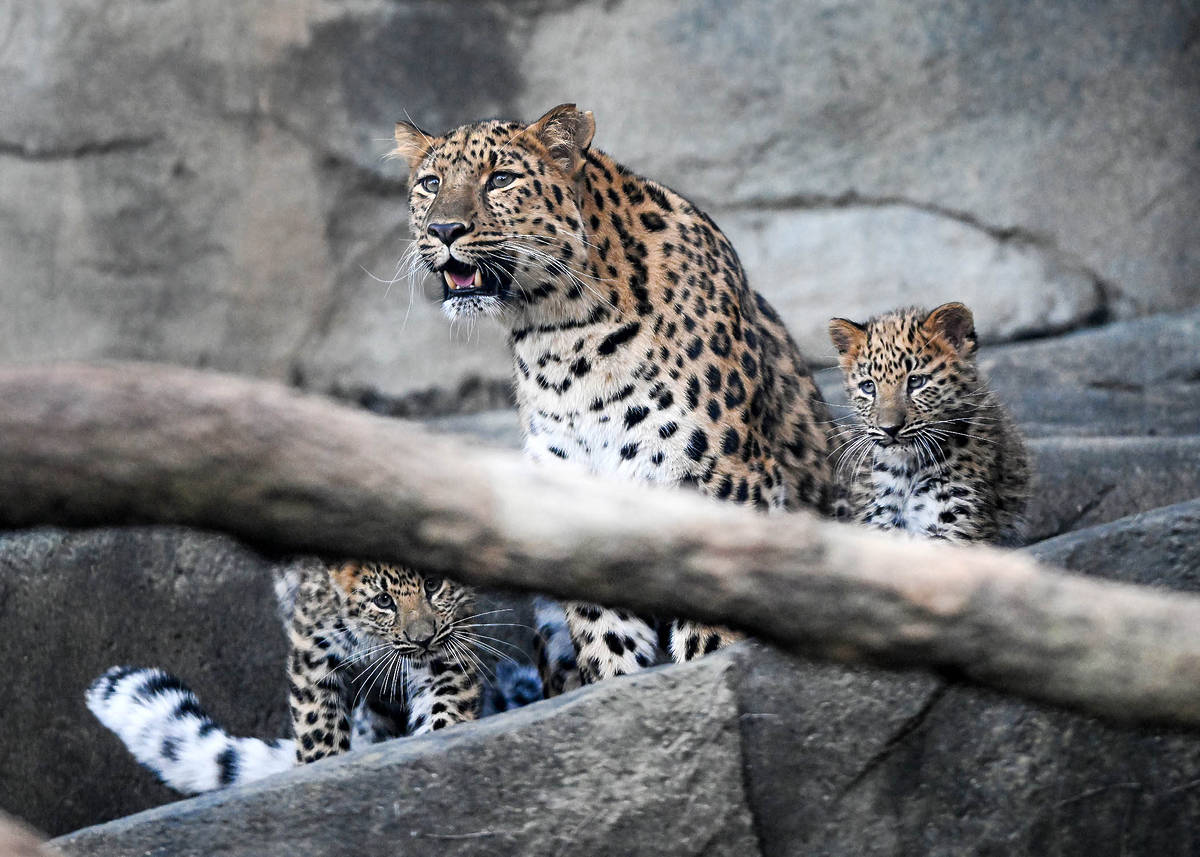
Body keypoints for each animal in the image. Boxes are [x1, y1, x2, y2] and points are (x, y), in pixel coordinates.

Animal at [86, 561, 482, 794]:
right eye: (384, 601)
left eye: (433, 584)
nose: (423, 639)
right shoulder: (312, 645)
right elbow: (318, 724)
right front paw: (324, 771)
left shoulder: (451, 638)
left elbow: (446, 699)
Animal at [391, 103, 834, 686]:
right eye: (431, 183)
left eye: (501, 179)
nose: (443, 229)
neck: (561, 338)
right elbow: (608, 644)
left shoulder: (725, 482)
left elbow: (713, 633)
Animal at [828, 302, 1030, 544]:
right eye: (868, 387)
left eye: (916, 381)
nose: (890, 429)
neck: (908, 470)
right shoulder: (880, 516)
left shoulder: (955, 516)